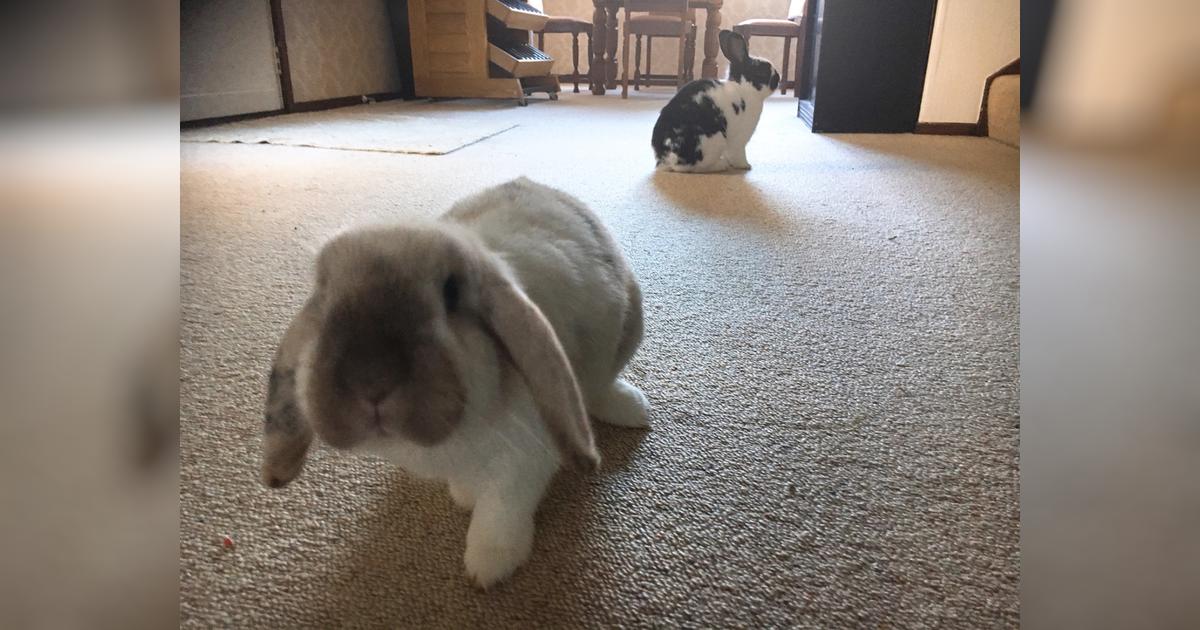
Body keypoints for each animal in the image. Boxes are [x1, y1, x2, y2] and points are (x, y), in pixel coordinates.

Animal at [260, 177, 649, 589]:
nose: (371, 380)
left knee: (602, 386)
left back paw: (633, 408)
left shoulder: (523, 461)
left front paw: (488, 568)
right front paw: (463, 496)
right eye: (323, 294)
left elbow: (499, 512)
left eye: (451, 291)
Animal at [652, 29, 780, 173]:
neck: (743, 86)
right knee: (692, 167)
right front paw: (746, 166)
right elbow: (738, 154)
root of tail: (667, 158)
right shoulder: (739, 139)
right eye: (762, 72)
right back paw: (721, 165)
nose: (778, 78)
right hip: (714, 141)